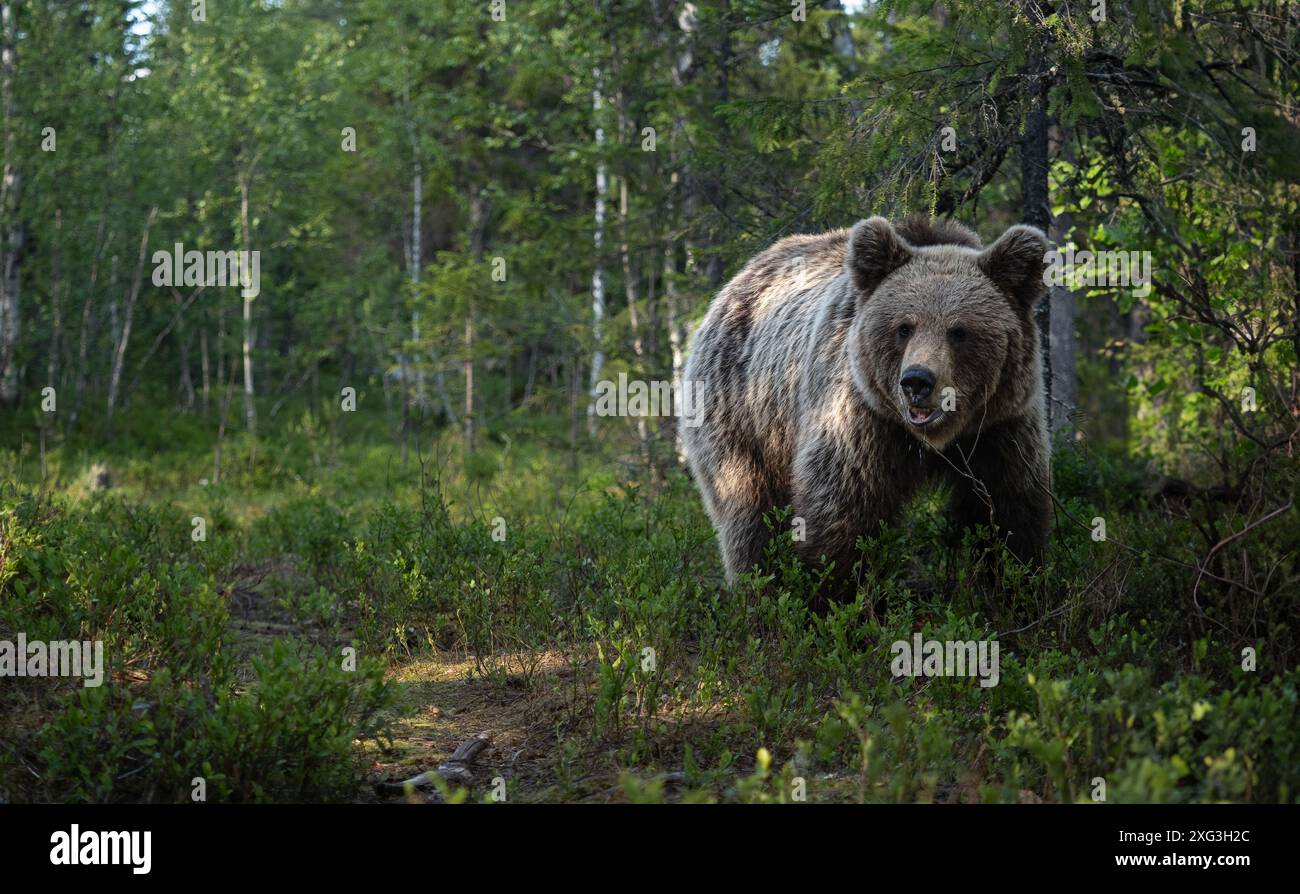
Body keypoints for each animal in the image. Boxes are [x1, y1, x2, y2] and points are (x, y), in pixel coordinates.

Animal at [682, 214, 1052, 599]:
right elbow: (842, 512)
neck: (934, 439)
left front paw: (1016, 585)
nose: (917, 381)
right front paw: (834, 593)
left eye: (959, 331)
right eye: (904, 327)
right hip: (741, 414)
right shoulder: (862, 419)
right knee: (749, 512)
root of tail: (739, 278)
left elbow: (1007, 509)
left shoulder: (999, 426)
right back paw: (759, 588)